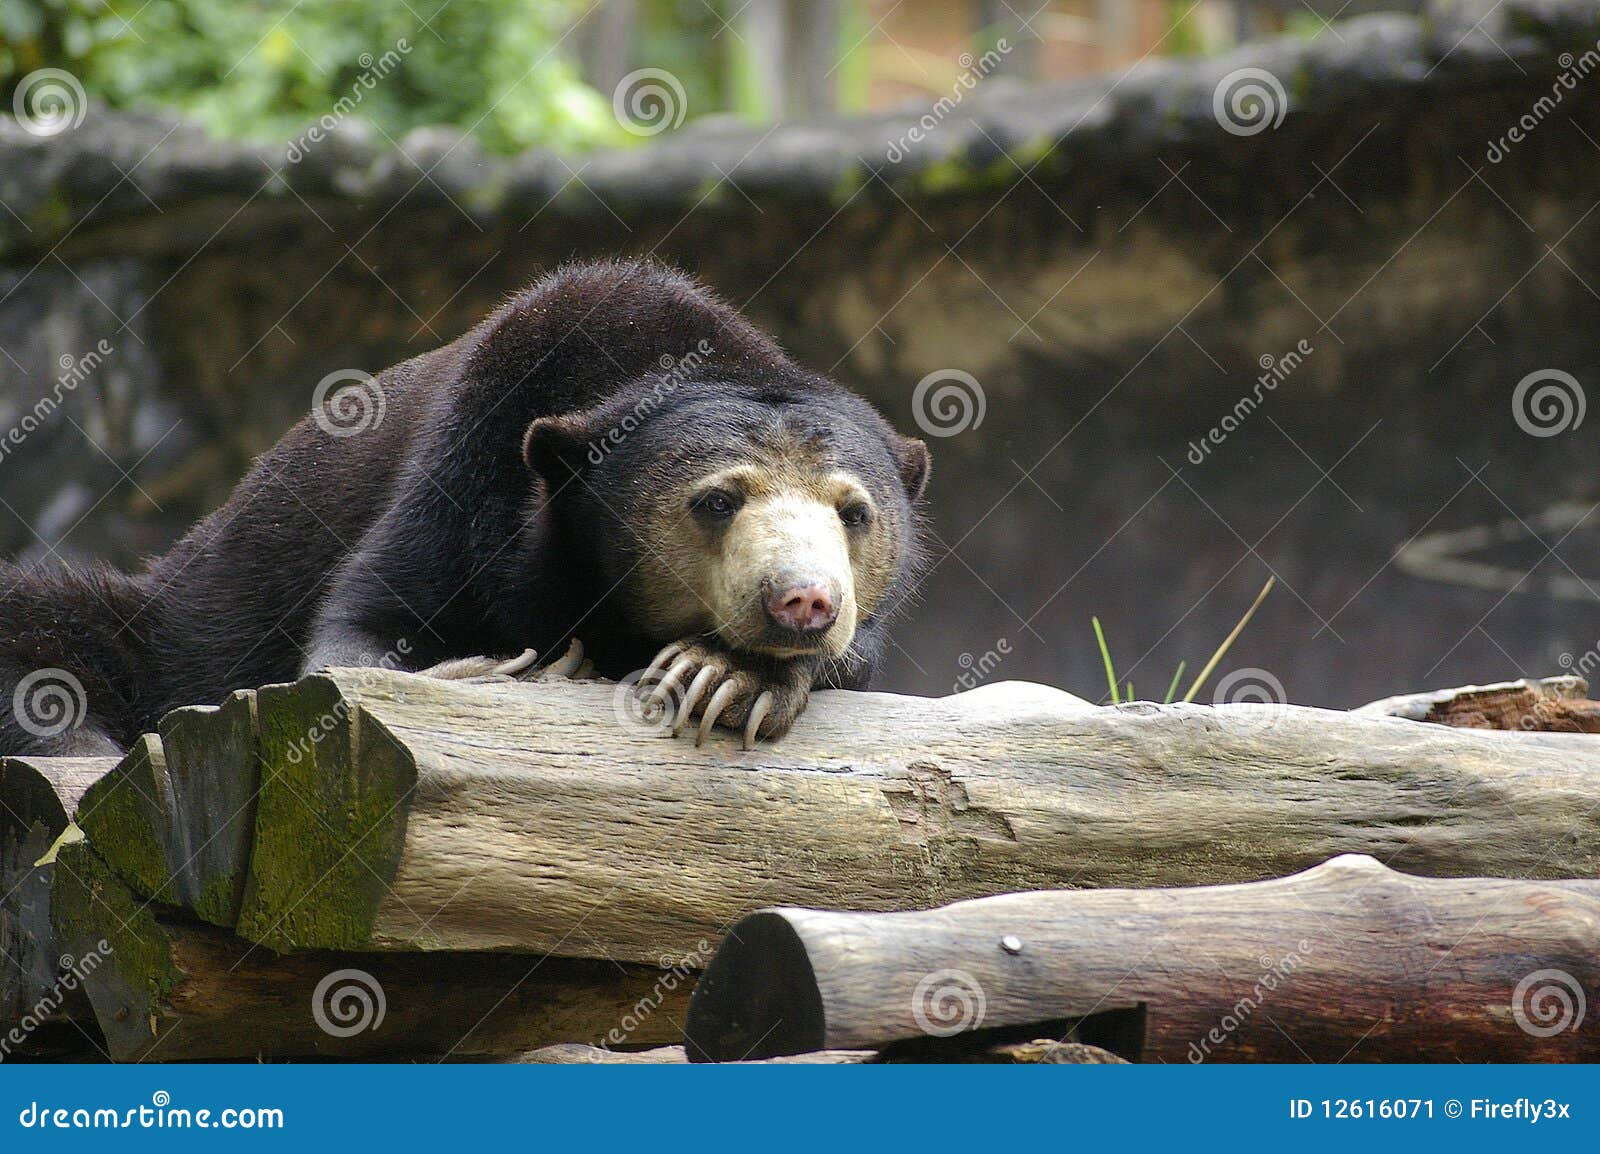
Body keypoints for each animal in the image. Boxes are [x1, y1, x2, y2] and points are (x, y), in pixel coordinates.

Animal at [0, 260, 930, 757]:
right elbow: (360, 629)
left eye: (854, 512)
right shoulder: (469, 457)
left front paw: (723, 676)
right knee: (53, 630)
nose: (803, 600)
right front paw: (501, 668)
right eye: (717, 500)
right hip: (176, 621)